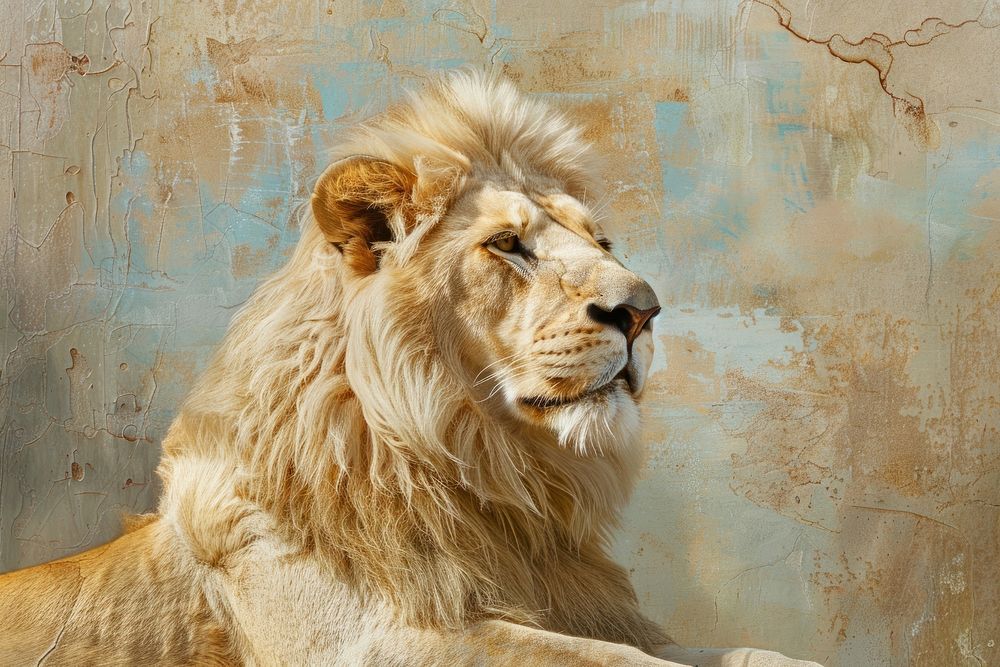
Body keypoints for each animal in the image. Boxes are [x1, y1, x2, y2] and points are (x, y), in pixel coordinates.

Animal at [0, 71, 821, 667]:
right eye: (508, 245)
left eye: (603, 240)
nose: (643, 311)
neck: (484, 477)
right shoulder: (364, 640)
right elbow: (604, 660)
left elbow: (734, 653)